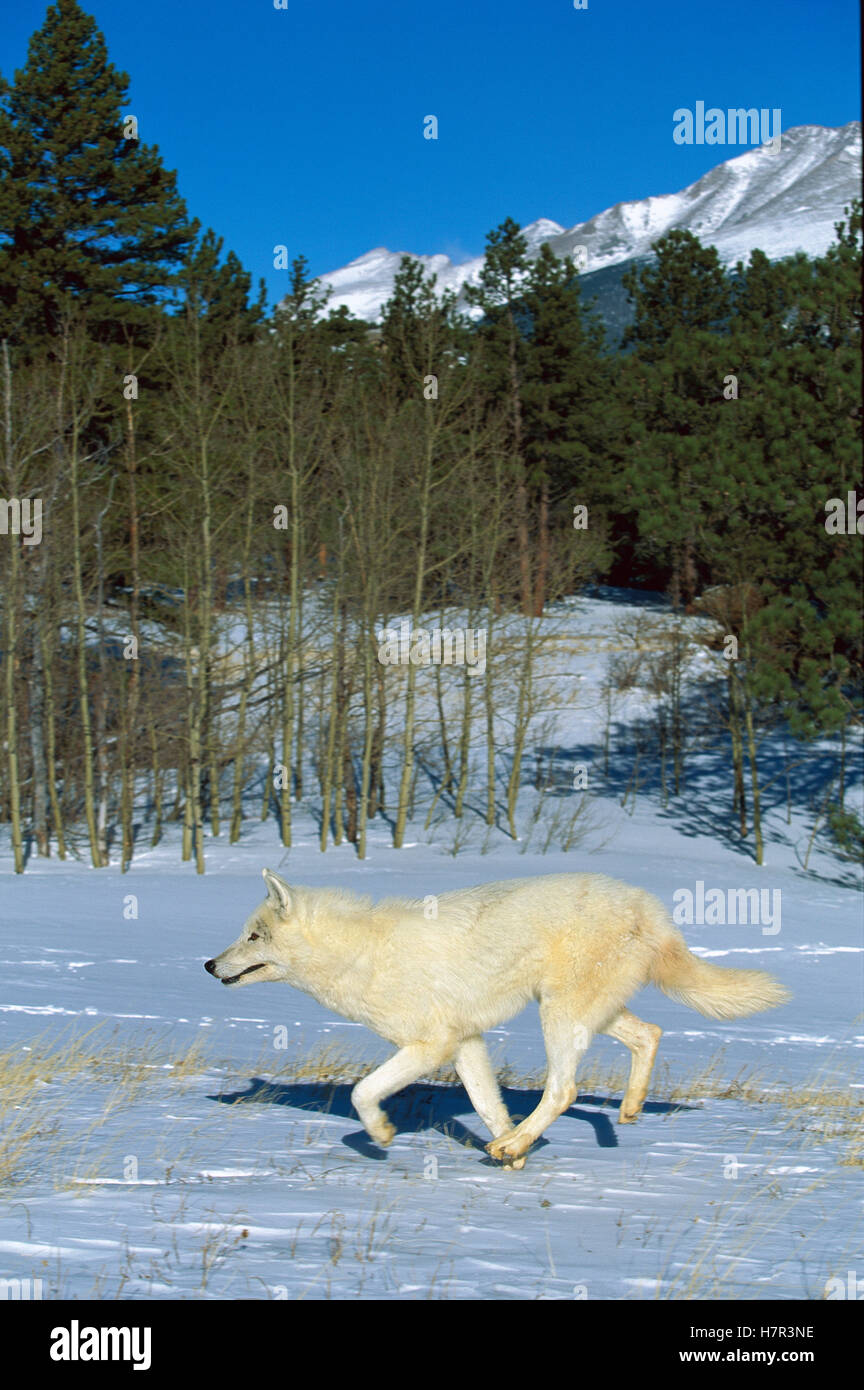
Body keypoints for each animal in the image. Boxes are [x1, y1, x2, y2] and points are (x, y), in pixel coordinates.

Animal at [204, 870, 790, 1166]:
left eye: (253, 937)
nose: (209, 964)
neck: (361, 954)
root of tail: (653, 910)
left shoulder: (433, 1045)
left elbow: (362, 1093)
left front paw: (383, 1135)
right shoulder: (466, 1045)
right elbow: (489, 1107)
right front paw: (515, 1160)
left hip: (561, 1017)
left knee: (565, 1090)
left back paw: (526, 1140)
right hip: (587, 1014)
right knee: (649, 1034)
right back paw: (622, 1113)